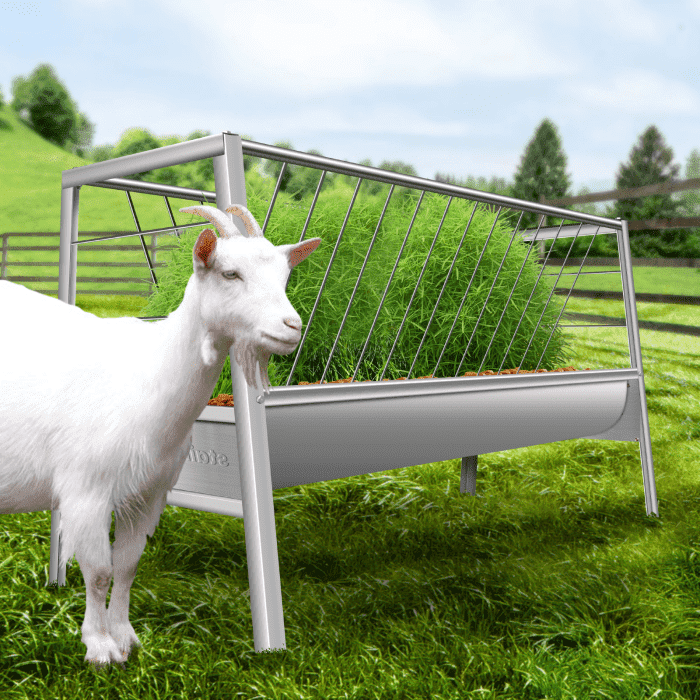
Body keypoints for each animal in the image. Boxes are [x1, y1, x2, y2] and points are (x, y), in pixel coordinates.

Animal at [0, 205, 321, 665]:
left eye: (284, 276)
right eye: (229, 273)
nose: (292, 327)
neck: (150, 372)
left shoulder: (148, 493)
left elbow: (127, 567)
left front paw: (125, 637)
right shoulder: (86, 490)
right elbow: (99, 572)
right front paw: (99, 647)